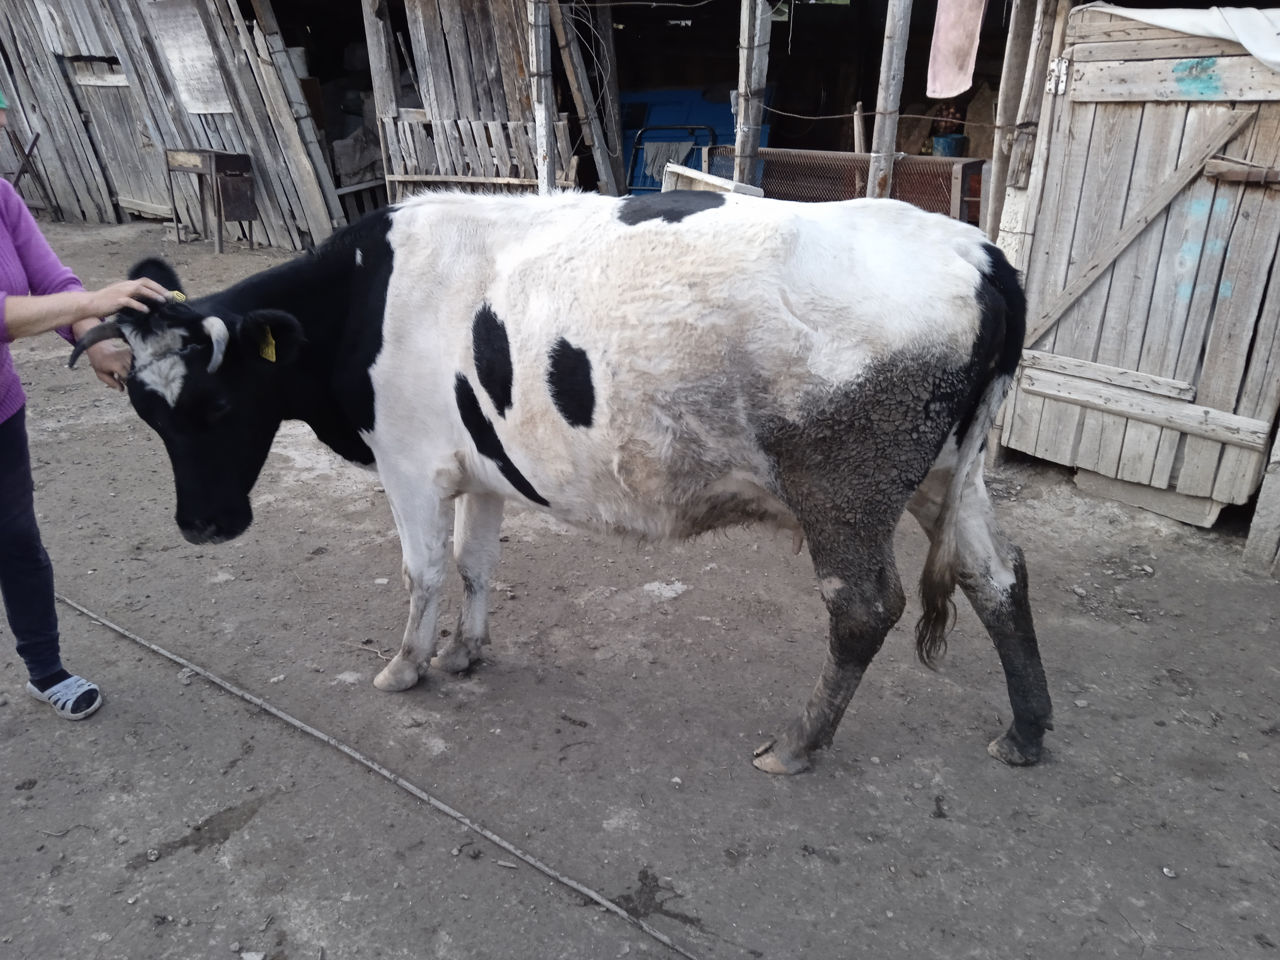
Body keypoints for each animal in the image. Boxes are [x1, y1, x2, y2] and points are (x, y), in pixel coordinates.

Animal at [71, 189, 1052, 775]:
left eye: (217, 405)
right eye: (147, 412)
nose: (202, 525)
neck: (363, 297)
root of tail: (981, 251)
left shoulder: (409, 465)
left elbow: (423, 572)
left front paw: (405, 667)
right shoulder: (480, 472)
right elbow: (474, 567)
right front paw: (464, 652)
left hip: (845, 491)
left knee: (864, 608)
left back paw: (800, 743)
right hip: (944, 477)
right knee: (996, 576)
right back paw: (1028, 729)